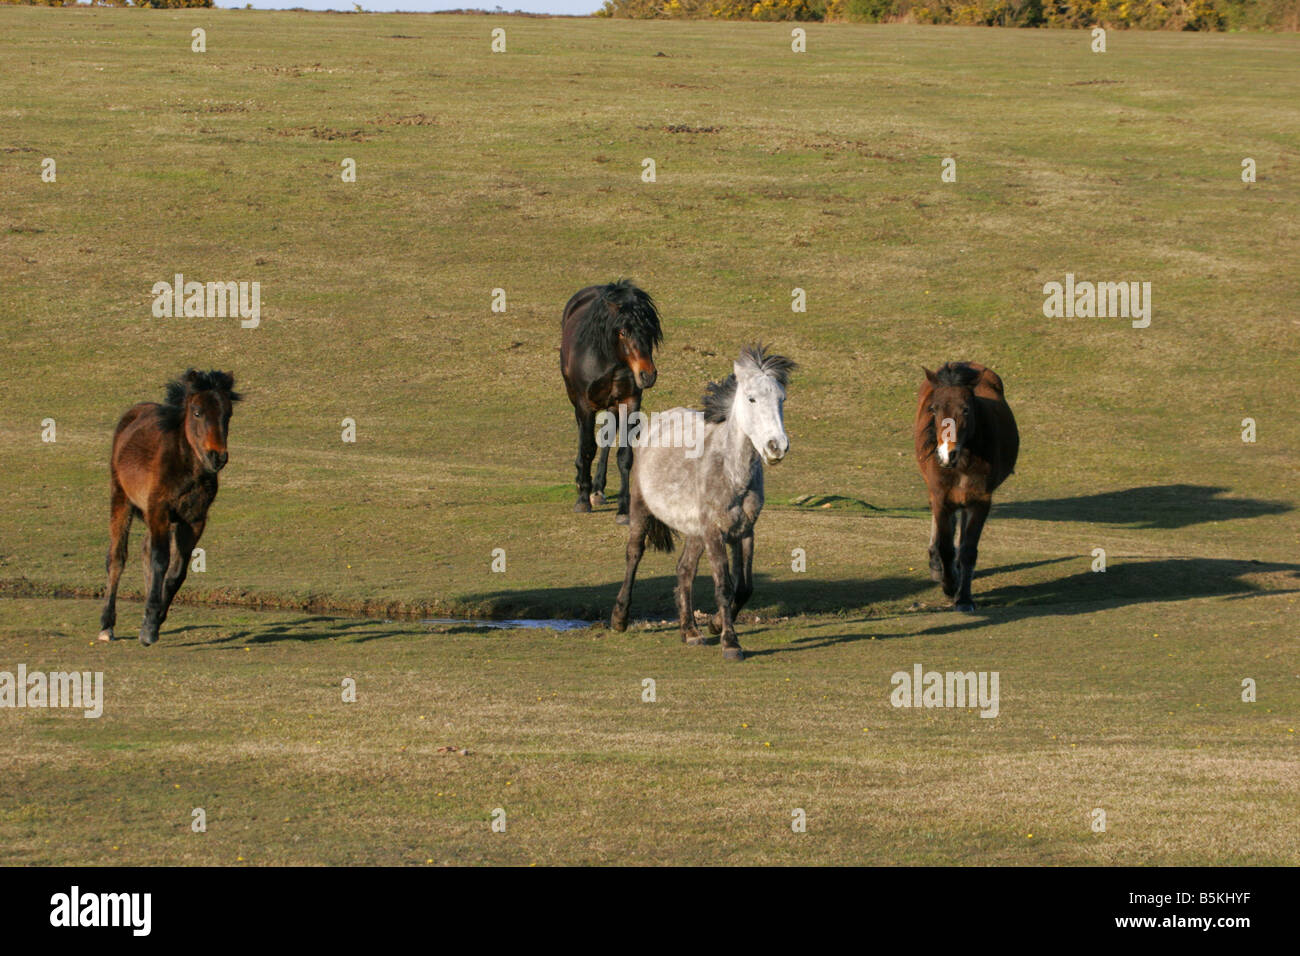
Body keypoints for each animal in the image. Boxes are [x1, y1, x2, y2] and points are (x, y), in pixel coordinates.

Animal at [98, 369, 241, 646]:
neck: (186, 466)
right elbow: (160, 561)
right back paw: (107, 625)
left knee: (144, 550)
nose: (217, 457)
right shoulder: (159, 510)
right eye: (197, 412)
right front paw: (149, 627)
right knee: (118, 557)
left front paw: (154, 618)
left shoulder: (194, 519)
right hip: (121, 498)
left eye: (227, 414)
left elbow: (177, 571)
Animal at [560, 279, 663, 523]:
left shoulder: (629, 402)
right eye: (623, 332)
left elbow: (624, 455)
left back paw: (598, 489)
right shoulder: (585, 405)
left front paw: (624, 510)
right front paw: (582, 500)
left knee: (606, 437)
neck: (610, 360)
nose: (648, 375)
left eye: (650, 331)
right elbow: (588, 447)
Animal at [611, 345, 795, 662]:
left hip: (694, 531)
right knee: (634, 554)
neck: (732, 473)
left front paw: (715, 624)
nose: (776, 447)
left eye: (781, 398)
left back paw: (690, 631)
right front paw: (730, 643)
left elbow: (744, 587)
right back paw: (620, 617)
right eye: (752, 398)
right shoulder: (714, 532)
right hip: (641, 508)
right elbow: (724, 586)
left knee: (684, 570)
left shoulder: (745, 531)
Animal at [914, 362, 1018, 612]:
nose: (946, 454)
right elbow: (946, 546)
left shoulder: (979, 501)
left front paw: (963, 598)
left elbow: (968, 549)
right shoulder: (942, 498)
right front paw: (949, 586)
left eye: (966, 410)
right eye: (933, 409)